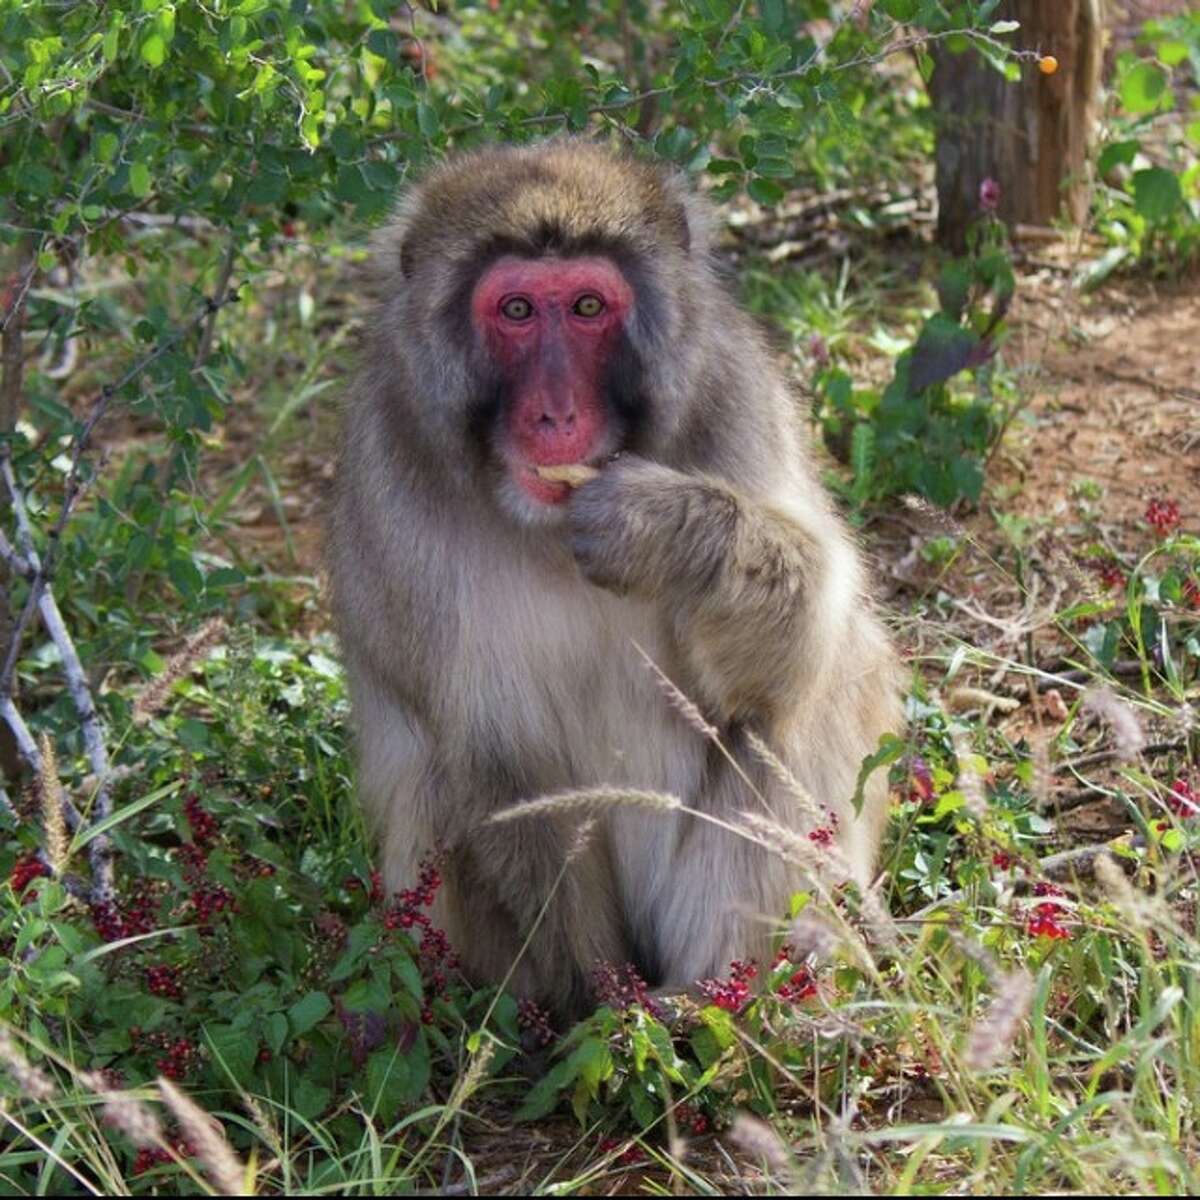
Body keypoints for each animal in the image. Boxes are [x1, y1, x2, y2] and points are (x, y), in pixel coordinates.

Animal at [328, 139, 901, 1021]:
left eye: (589, 306)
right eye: (518, 310)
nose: (556, 416)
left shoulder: (733, 393)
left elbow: (805, 642)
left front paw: (664, 530)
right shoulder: (389, 476)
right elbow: (496, 760)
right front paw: (590, 1004)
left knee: (788, 710)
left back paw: (715, 1003)